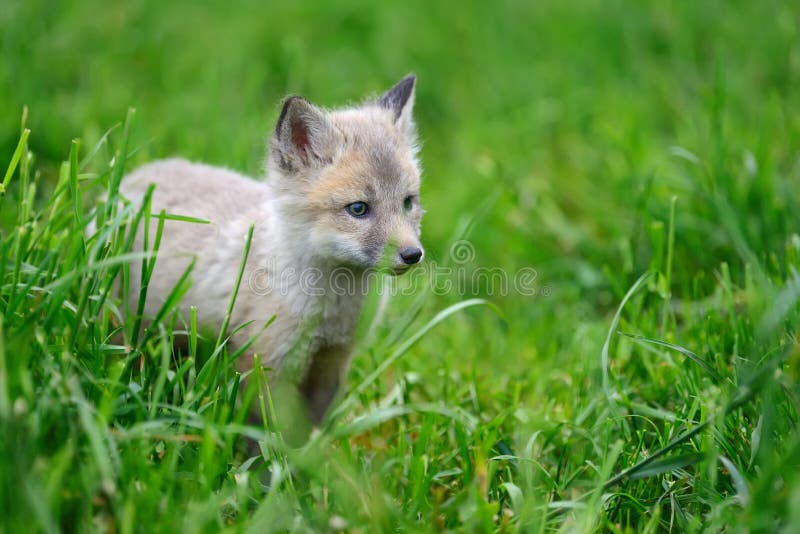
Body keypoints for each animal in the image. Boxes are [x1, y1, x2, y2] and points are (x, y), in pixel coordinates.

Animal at [117, 75, 424, 425]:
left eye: (408, 202)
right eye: (358, 209)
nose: (413, 254)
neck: (333, 311)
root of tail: (139, 173)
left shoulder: (333, 359)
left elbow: (314, 428)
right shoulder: (266, 362)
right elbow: (267, 427)